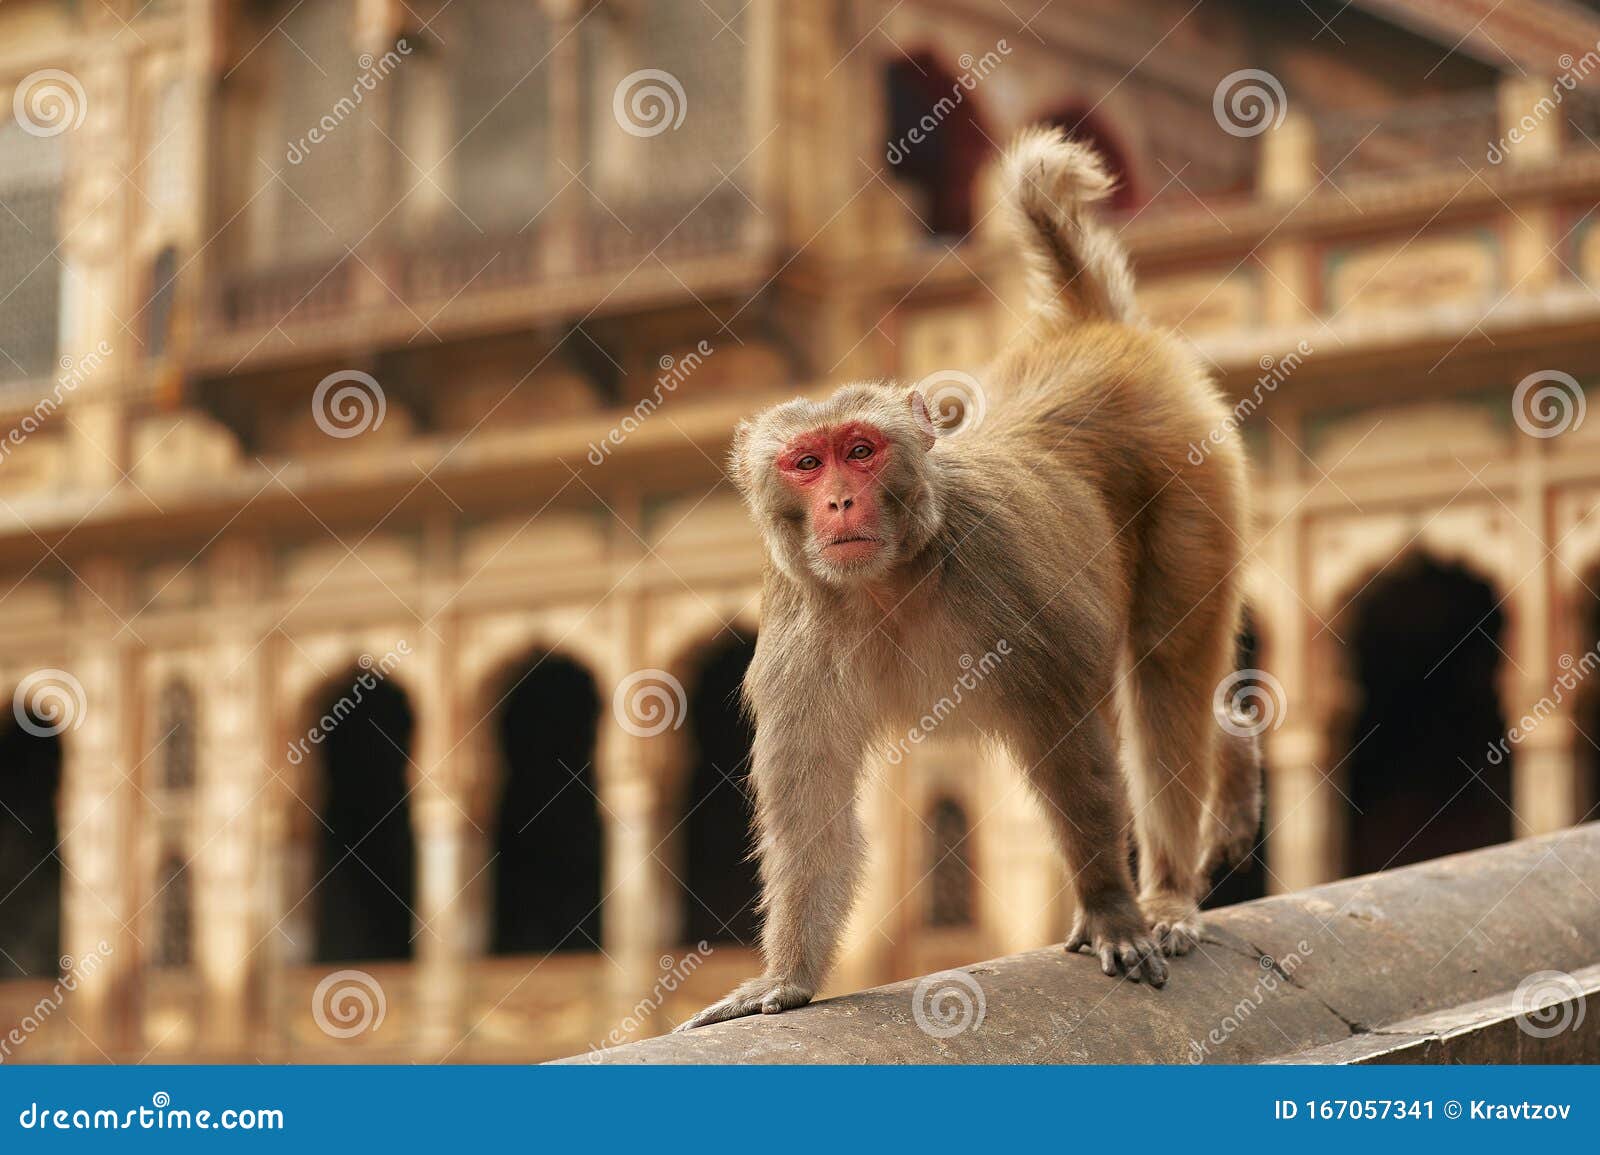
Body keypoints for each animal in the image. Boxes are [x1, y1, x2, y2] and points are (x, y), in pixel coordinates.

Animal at [678, 127, 1260, 1030]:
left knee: (1164, 672)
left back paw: (1166, 893)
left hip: (1193, 474)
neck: (890, 583)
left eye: (861, 450)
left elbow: (1071, 753)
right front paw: (785, 977)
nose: (839, 500)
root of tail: (1092, 334)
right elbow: (815, 815)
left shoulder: (1009, 590)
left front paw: (1112, 910)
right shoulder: (799, 640)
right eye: (806, 463)